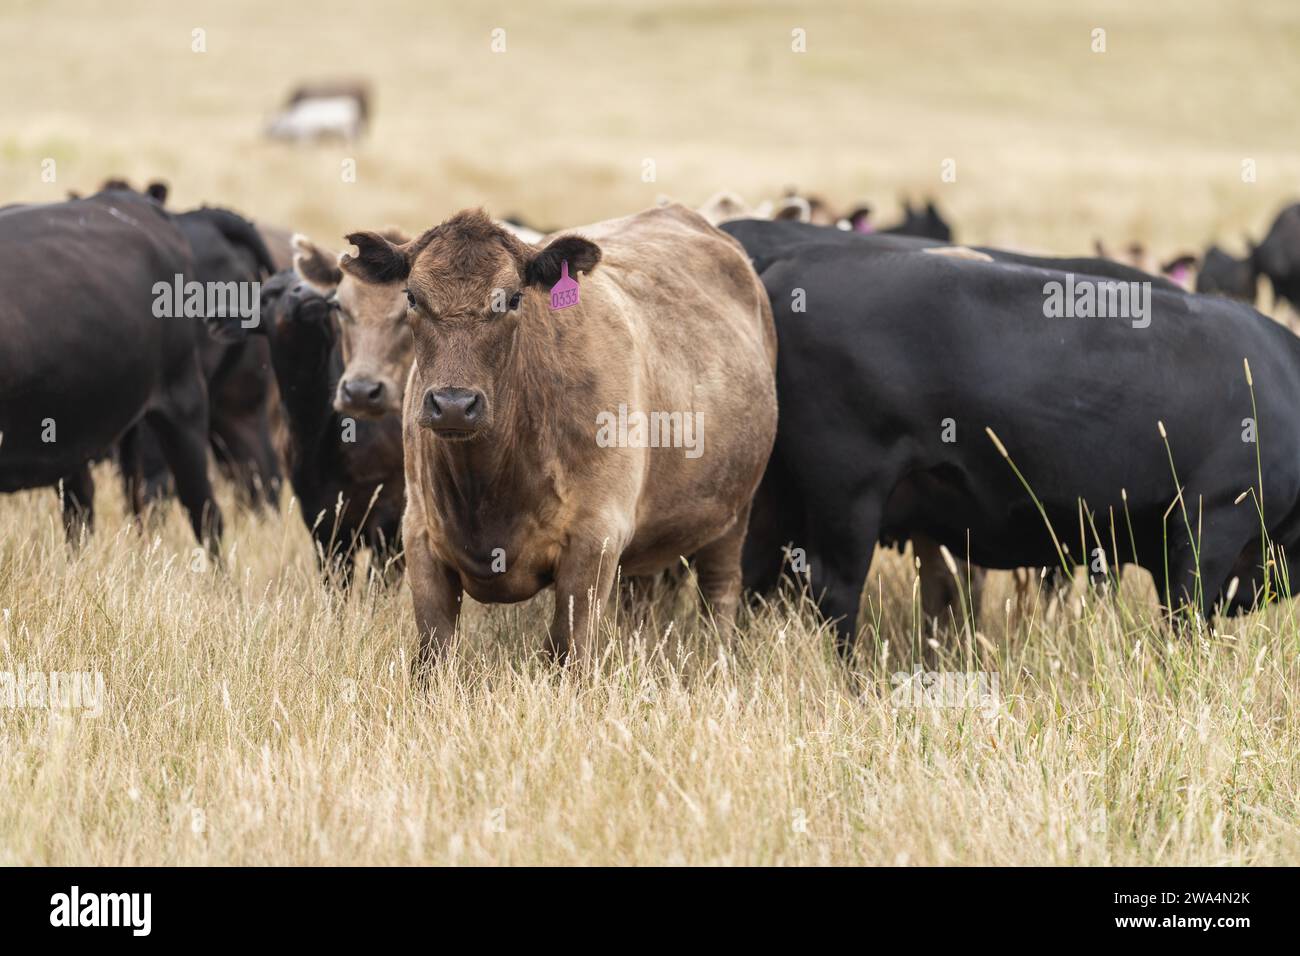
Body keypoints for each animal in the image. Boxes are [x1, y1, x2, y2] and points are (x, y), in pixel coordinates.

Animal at [337, 204, 778, 675]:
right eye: (412, 298)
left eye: (513, 299)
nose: (454, 403)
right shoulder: (421, 534)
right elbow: (434, 650)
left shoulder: (594, 542)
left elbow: (568, 649)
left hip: (732, 513)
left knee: (720, 591)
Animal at [730, 233, 1293, 652]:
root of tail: (785, 264)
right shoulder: (1212, 518)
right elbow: (1184, 619)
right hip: (848, 493)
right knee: (833, 591)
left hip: (774, 497)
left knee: (747, 577)